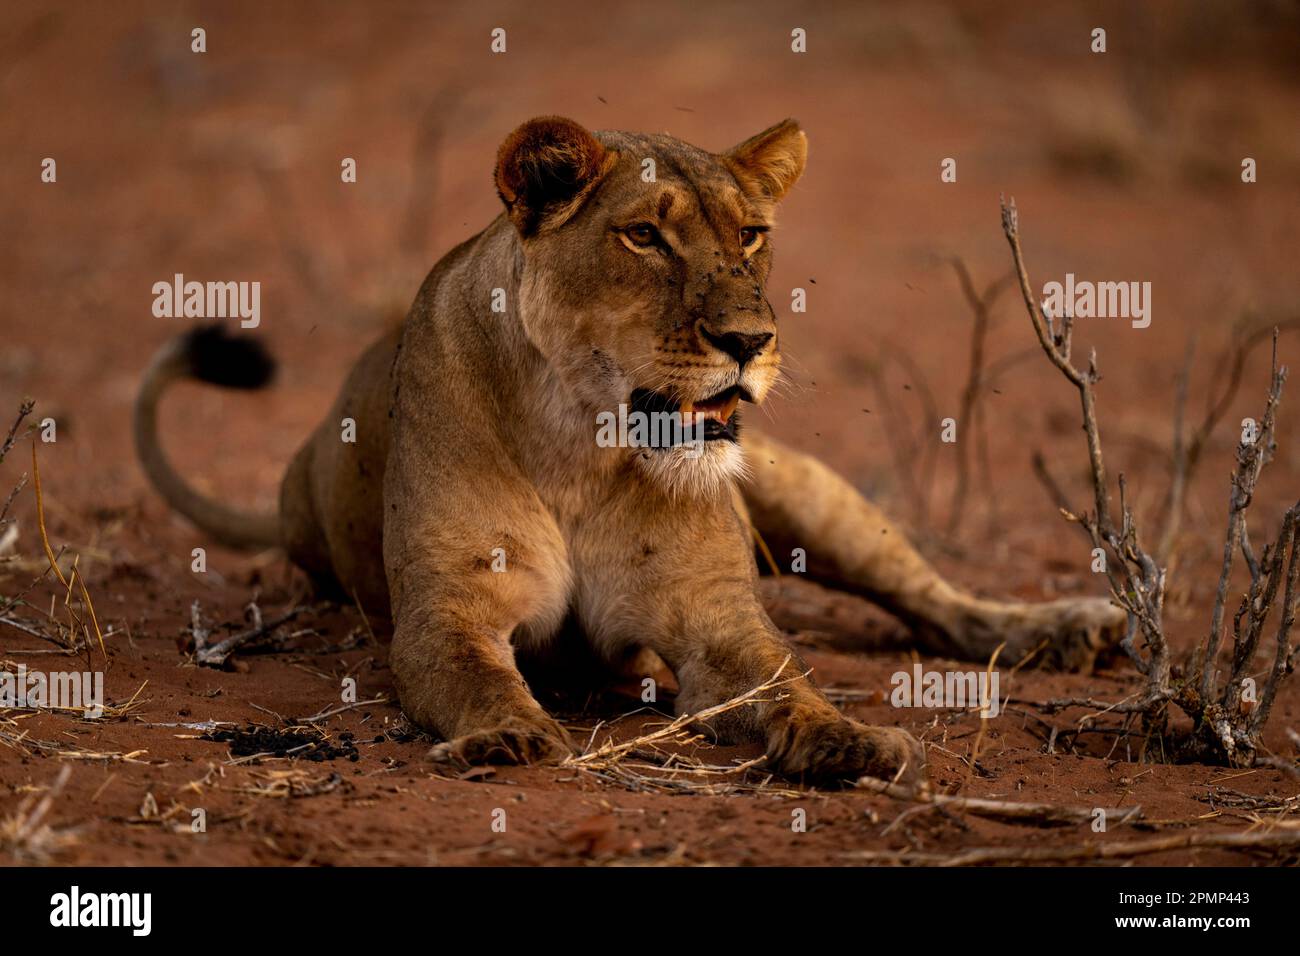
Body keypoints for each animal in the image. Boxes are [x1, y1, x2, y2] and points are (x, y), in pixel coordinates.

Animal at [135, 116, 1124, 784]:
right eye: (644, 235)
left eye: (752, 234)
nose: (751, 342)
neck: (580, 440)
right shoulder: (448, 610)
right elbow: (476, 675)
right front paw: (509, 734)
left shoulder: (716, 616)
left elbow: (789, 680)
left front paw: (845, 740)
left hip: (810, 495)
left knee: (934, 599)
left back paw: (1072, 628)